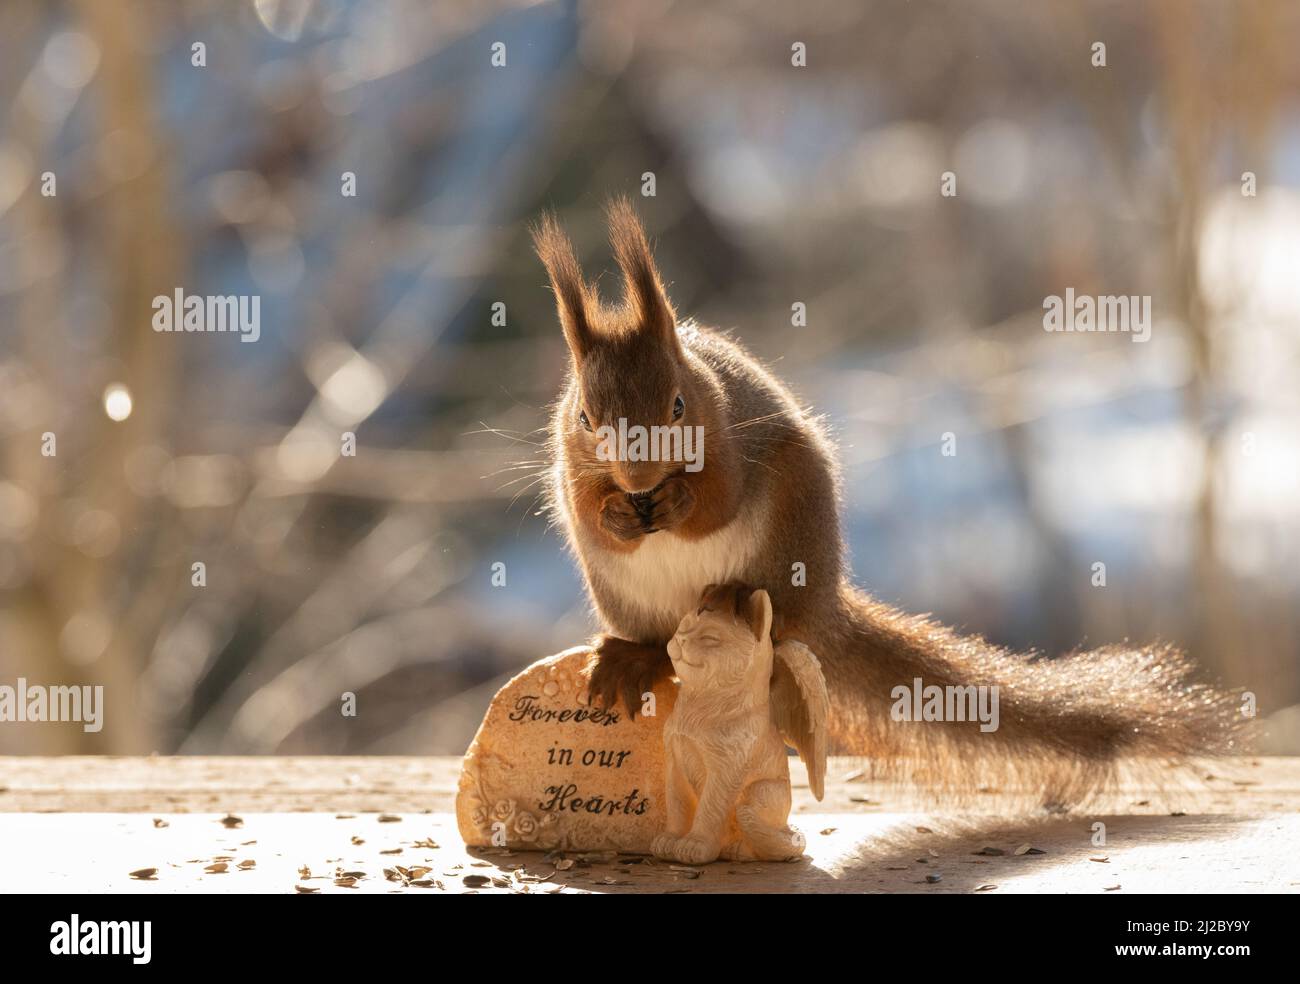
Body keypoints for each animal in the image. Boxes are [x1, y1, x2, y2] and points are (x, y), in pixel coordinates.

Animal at [533, 196, 1246, 802]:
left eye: (679, 405)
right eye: (587, 418)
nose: (637, 480)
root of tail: (827, 609)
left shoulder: (730, 434)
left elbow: (719, 498)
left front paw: (679, 502)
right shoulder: (570, 464)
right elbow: (587, 508)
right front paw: (616, 513)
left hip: (791, 535)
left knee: (775, 625)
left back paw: (723, 606)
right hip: (624, 596)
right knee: (662, 645)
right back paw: (631, 657)